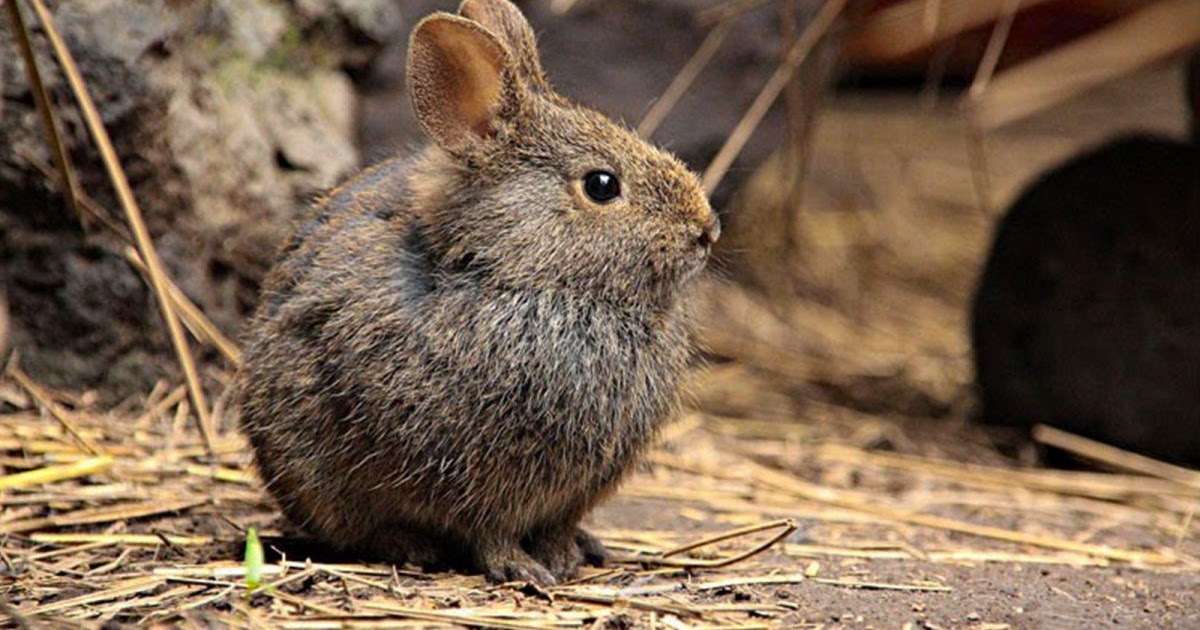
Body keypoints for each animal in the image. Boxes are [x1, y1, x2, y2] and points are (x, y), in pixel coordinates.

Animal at [236, 0, 719, 584]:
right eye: (602, 185)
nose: (706, 229)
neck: (522, 275)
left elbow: (557, 524)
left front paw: (566, 553)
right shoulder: (472, 477)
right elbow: (488, 531)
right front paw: (525, 569)